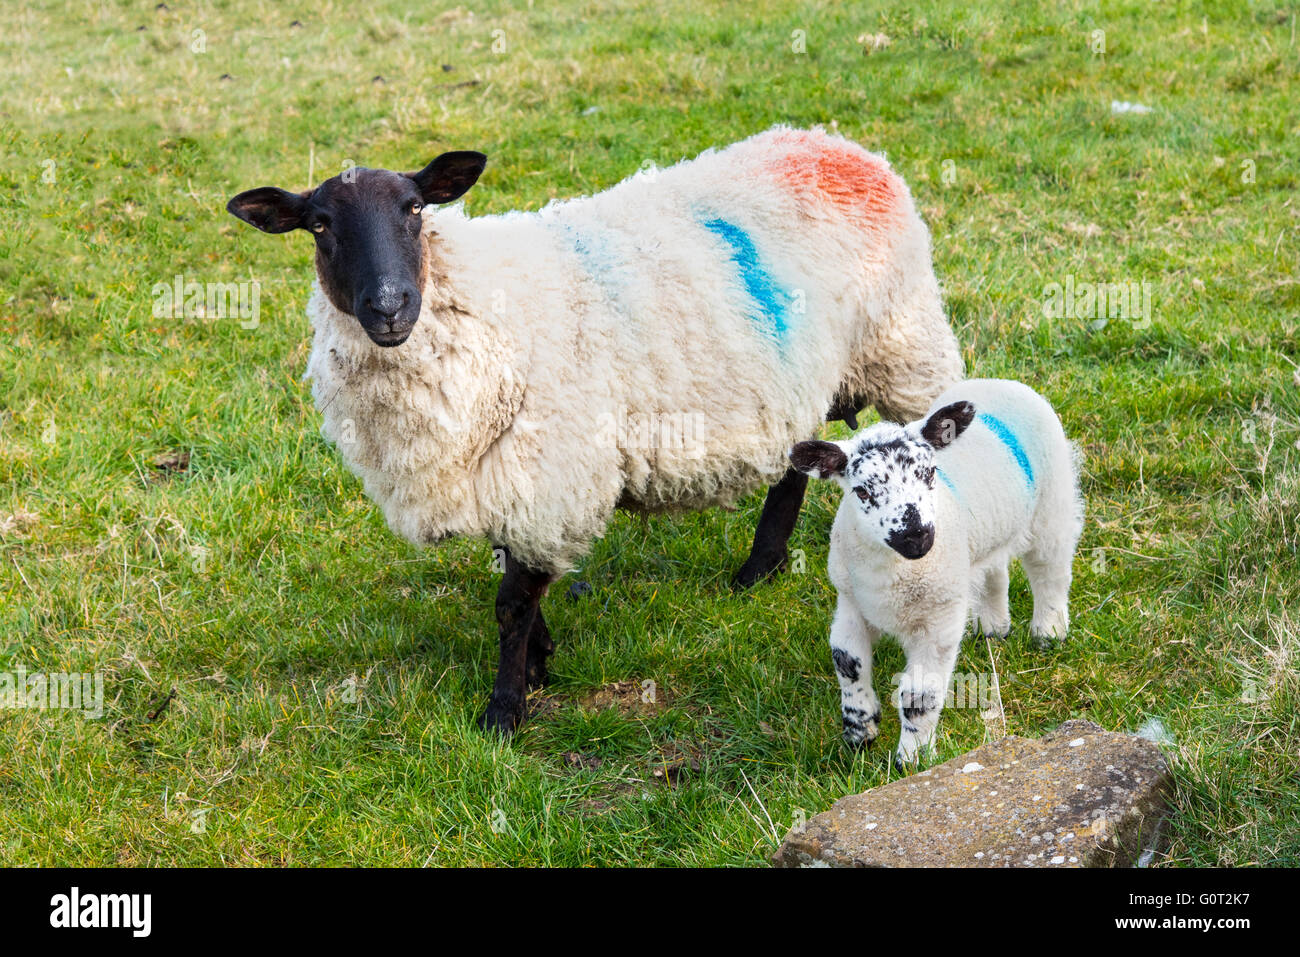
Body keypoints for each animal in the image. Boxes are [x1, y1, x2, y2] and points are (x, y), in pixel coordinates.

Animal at [225, 126, 964, 735]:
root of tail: (838, 146)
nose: (388, 307)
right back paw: (761, 567)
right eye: (319, 225)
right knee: (794, 463)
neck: (482, 307)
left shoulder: (550, 467)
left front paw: (506, 708)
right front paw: (540, 660)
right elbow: (510, 566)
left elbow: (511, 601)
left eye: (413, 208)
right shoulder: (508, 471)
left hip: (905, 344)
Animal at [789, 378, 1083, 766]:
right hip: (982, 537)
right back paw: (993, 627)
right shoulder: (851, 602)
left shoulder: (938, 622)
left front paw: (911, 759)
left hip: (1052, 500)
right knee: (993, 570)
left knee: (1050, 568)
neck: (892, 574)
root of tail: (999, 381)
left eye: (930, 473)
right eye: (862, 492)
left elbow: (919, 695)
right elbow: (847, 661)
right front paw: (859, 732)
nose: (917, 536)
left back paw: (1048, 631)